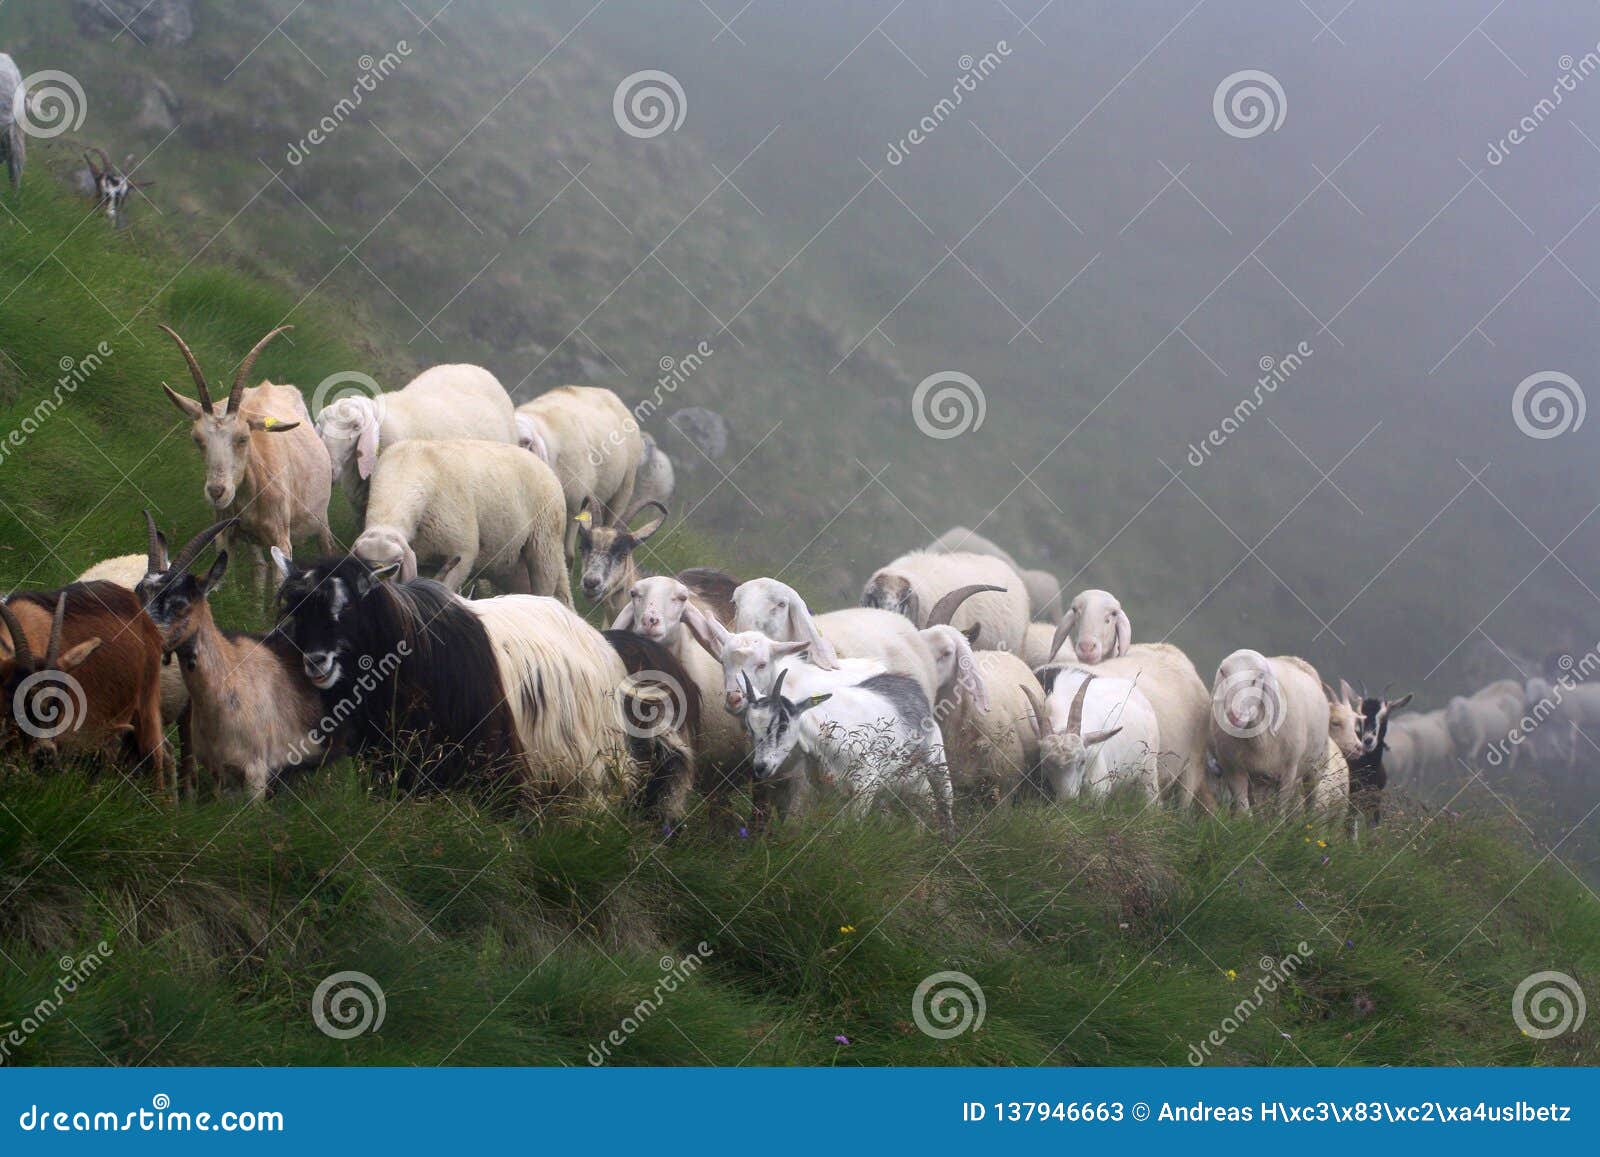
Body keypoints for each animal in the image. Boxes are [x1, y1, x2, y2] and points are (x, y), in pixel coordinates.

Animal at [157, 324, 334, 596]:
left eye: (243, 438)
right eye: (197, 438)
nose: (217, 492)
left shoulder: (282, 541)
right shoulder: (224, 534)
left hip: (320, 519)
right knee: (259, 567)